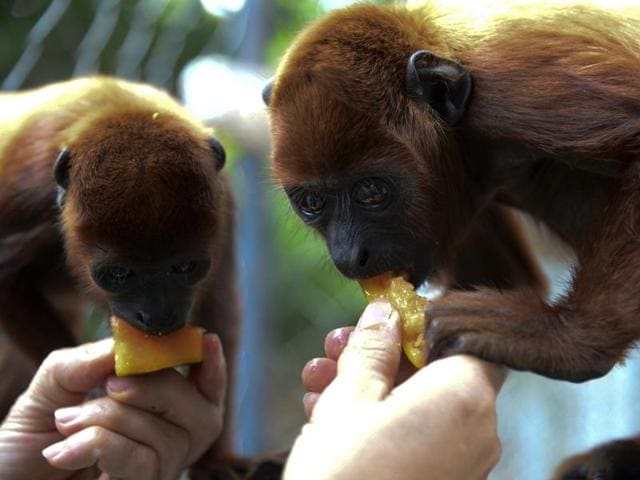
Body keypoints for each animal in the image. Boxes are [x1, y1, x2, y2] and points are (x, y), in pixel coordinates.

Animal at [0, 76, 241, 477]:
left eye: (185, 267)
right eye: (117, 274)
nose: (158, 314)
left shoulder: (224, 209)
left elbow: (222, 315)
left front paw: (213, 462)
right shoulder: (23, 198)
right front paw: (94, 390)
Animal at [263, 3, 640, 478]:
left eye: (373, 193)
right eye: (312, 202)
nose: (350, 257)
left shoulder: (523, 88)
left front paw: (565, 340)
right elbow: (506, 277)